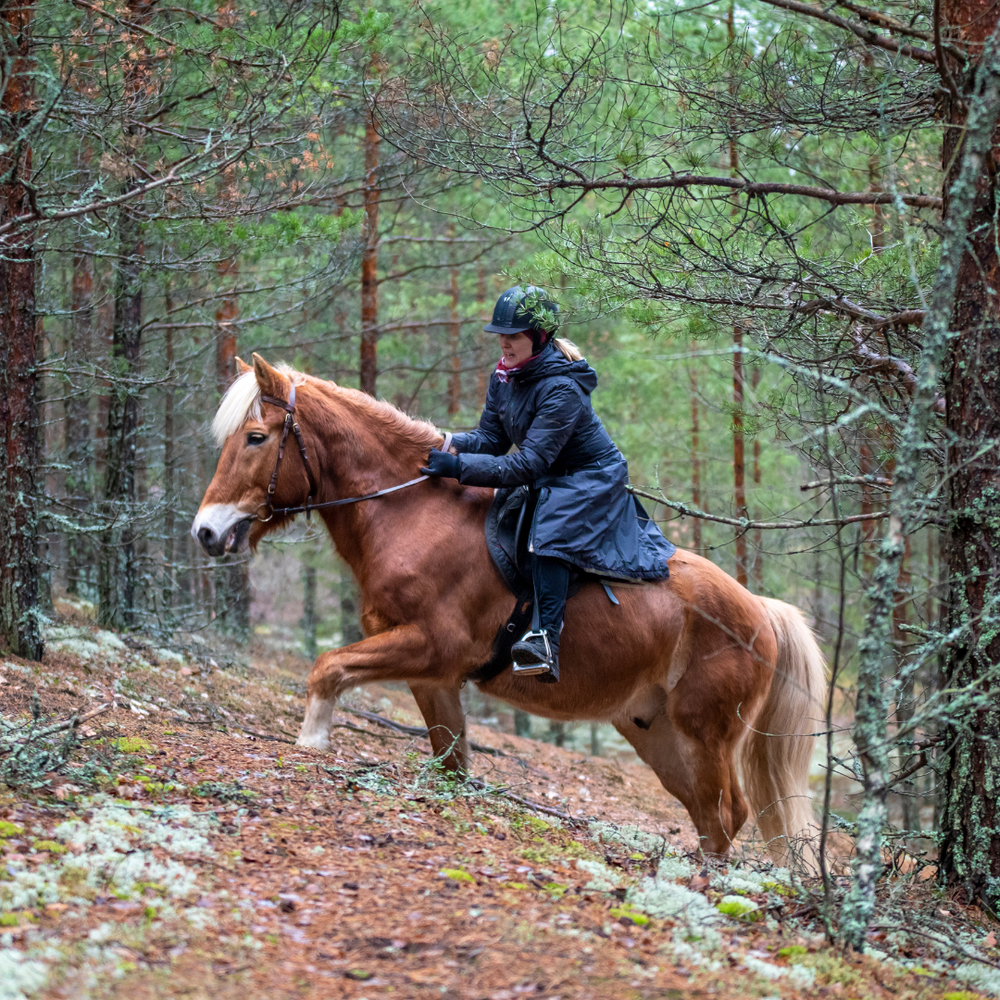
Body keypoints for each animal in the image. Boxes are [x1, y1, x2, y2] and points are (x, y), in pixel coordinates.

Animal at [192, 354, 826, 860]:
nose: (206, 532)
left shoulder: (431, 647)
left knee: (728, 812)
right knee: (704, 812)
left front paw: (312, 741)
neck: (412, 516)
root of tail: (762, 611)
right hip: (656, 732)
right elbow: (450, 760)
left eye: (255, 438)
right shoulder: (432, 675)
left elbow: (327, 667)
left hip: (705, 733)